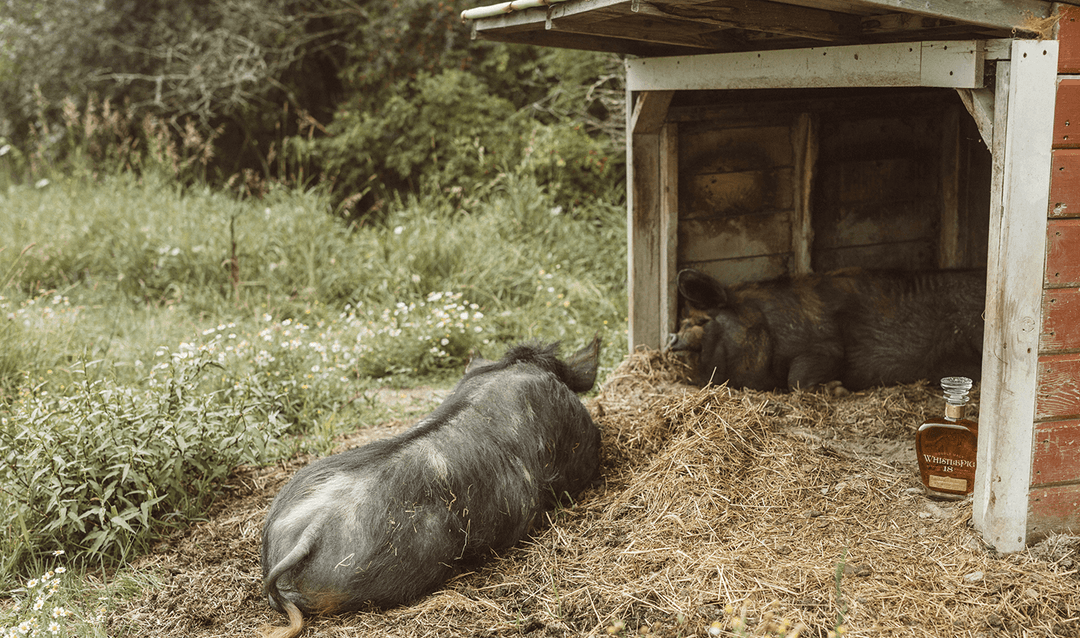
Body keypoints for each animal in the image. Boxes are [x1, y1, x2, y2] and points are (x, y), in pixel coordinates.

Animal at [666, 268, 984, 392]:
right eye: (682, 323)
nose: (672, 341)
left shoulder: (826, 346)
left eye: (700, 322)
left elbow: (796, 379)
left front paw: (838, 389)